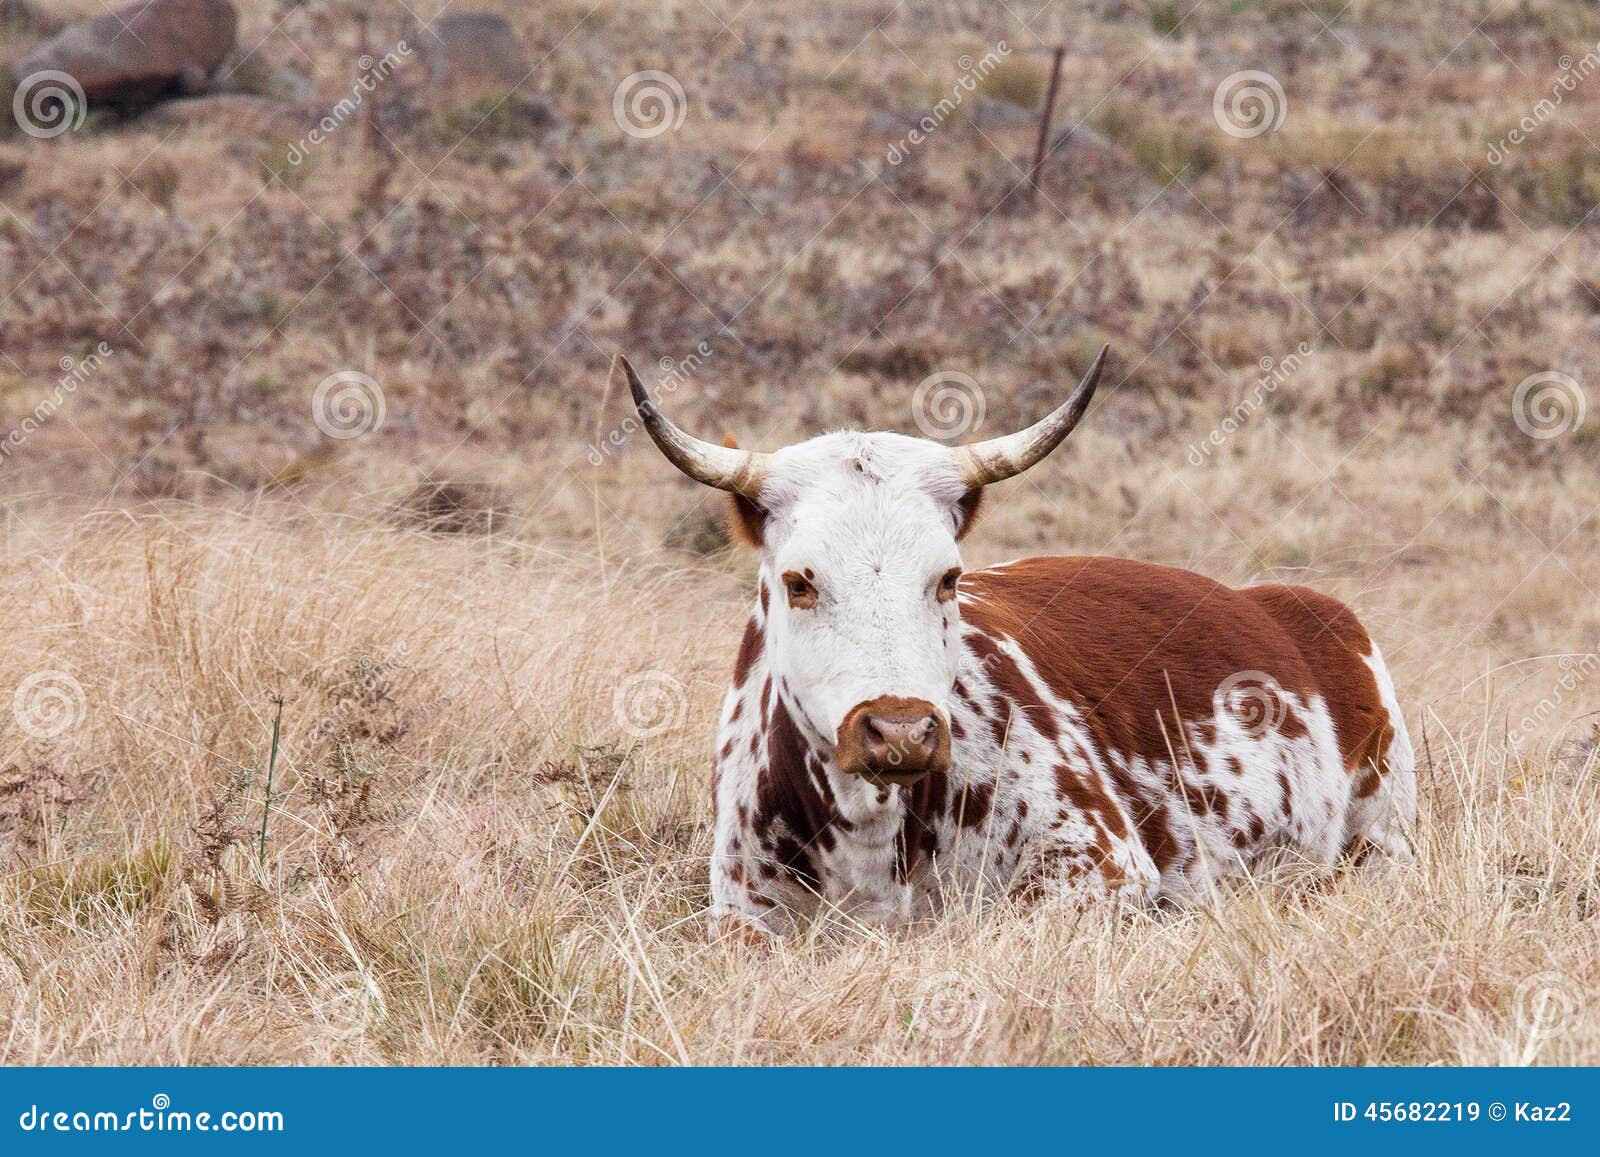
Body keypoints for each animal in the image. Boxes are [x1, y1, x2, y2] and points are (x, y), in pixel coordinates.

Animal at [620, 348, 1415, 940]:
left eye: (947, 577)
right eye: (800, 581)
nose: (900, 732)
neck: (867, 827)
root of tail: (1285, 605)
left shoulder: (1104, 866)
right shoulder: (741, 913)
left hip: (1383, 839)